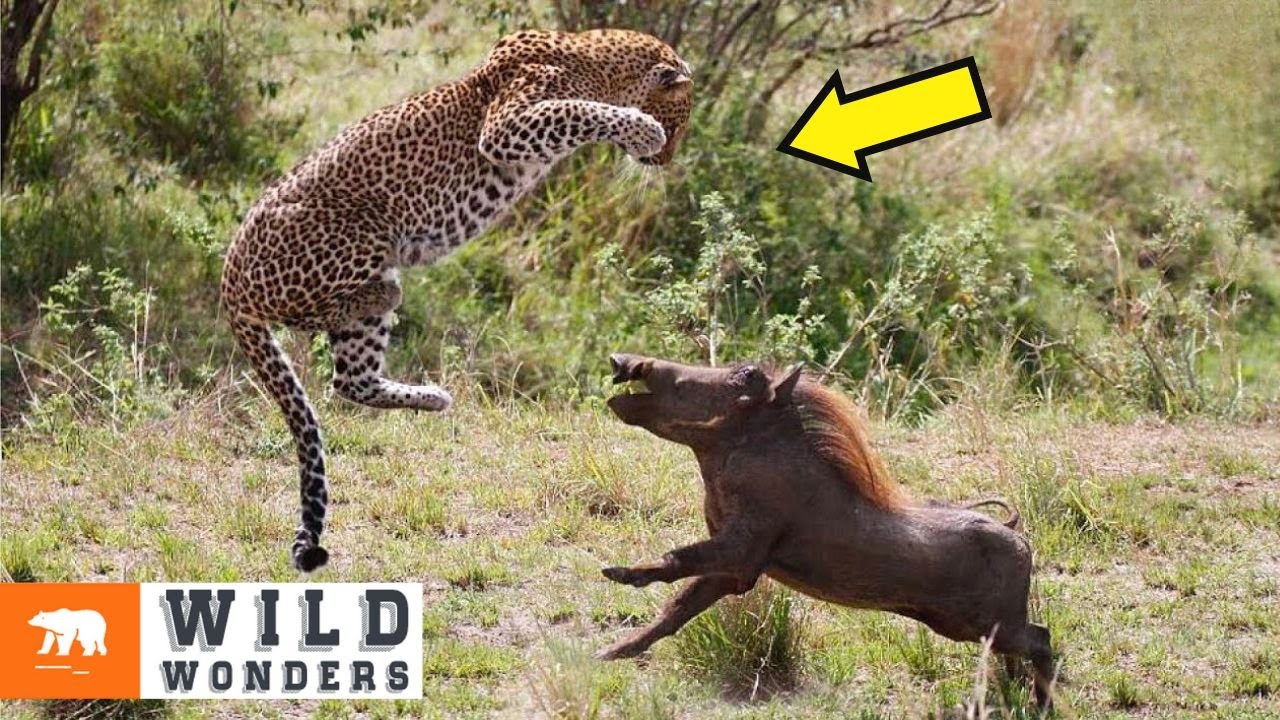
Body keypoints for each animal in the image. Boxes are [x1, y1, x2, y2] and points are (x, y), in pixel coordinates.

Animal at [220, 29, 693, 572]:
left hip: (358, 324)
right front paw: (641, 128)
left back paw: (431, 395)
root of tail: (227, 272)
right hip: (361, 233)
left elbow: (581, 109)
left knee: (350, 380)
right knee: (313, 312)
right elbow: (579, 110)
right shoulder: (508, 124)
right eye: (677, 122)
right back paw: (384, 292)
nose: (666, 159)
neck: (597, 64)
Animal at [598, 354, 1056, 705]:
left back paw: (1041, 705)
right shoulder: (736, 571)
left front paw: (619, 574)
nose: (626, 361)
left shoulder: (742, 546)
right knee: (1016, 650)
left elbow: (677, 558)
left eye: (746, 376)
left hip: (983, 622)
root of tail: (1017, 534)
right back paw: (1012, 694)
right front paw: (608, 654)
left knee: (1041, 638)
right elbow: (676, 610)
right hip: (968, 626)